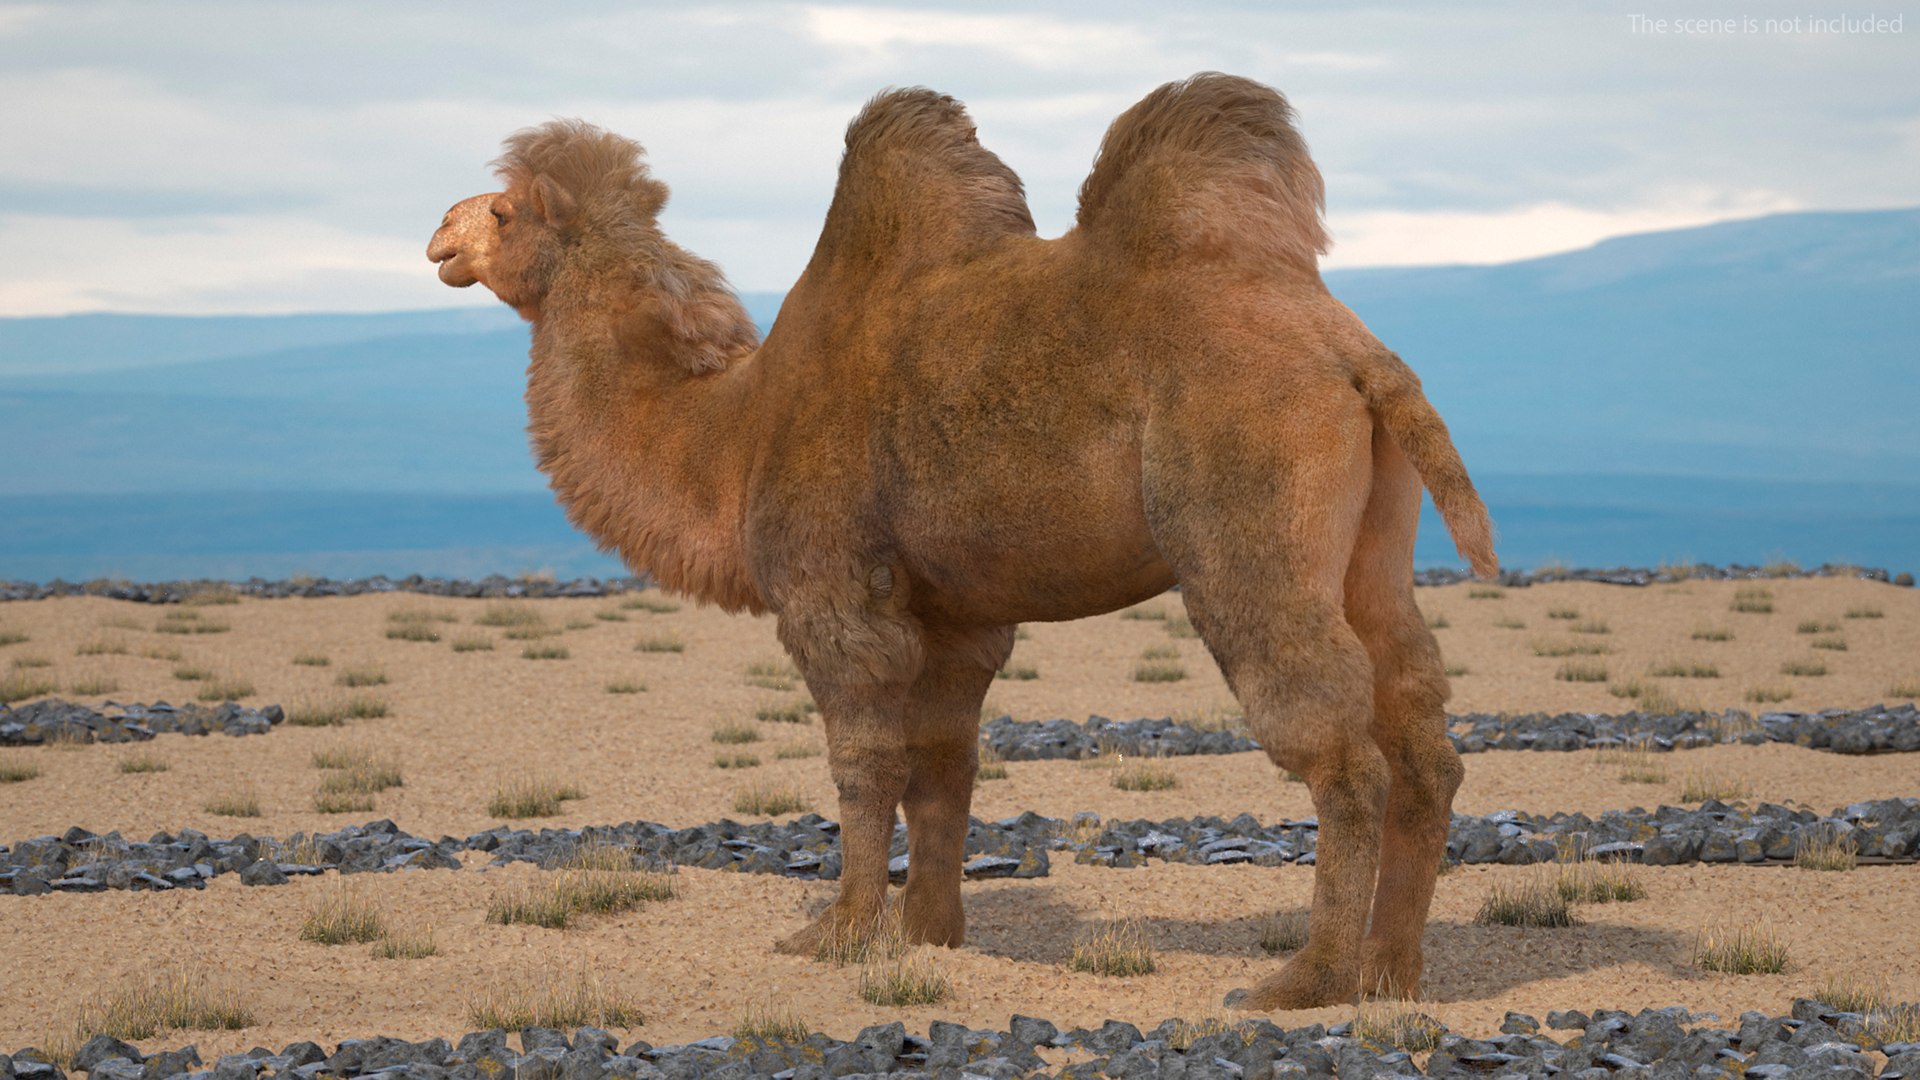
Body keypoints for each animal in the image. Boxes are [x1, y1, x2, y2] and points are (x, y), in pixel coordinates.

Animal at [427, 73, 1497, 1010]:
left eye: (506, 213)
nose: (437, 231)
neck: (735, 435)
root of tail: (1354, 354)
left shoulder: (832, 591)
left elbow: (865, 761)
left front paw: (837, 930)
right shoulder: (955, 614)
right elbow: (943, 762)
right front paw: (931, 932)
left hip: (1246, 502)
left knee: (1337, 741)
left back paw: (1303, 983)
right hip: (1373, 541)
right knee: (1418, 726)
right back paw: (1391, 975)